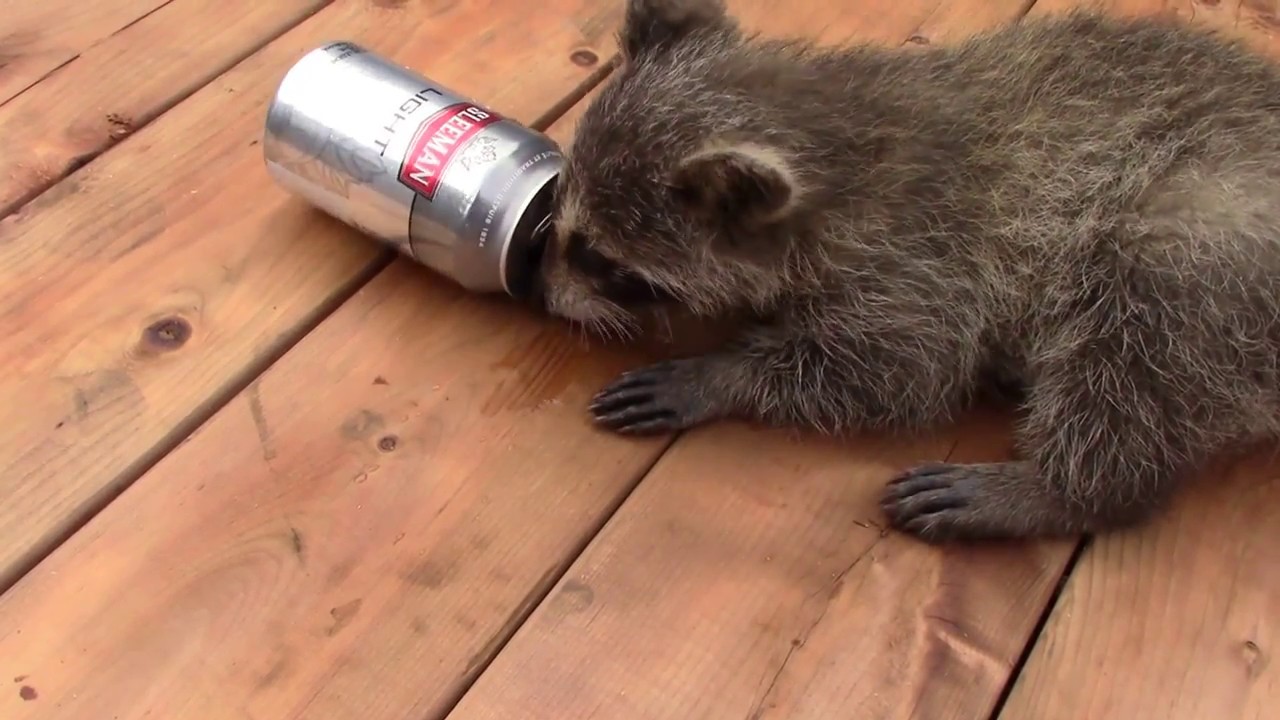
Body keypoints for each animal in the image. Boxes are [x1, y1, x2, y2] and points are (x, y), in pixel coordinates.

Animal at [537, 0, 1280, 543]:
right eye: (559, 204)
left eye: (599, 258)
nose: (545, 294)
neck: (827, 127)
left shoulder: (923, 251)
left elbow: (902, 366)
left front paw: (724, 372)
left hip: (1216, 235)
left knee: (1142, 333)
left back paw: (1064, 492)